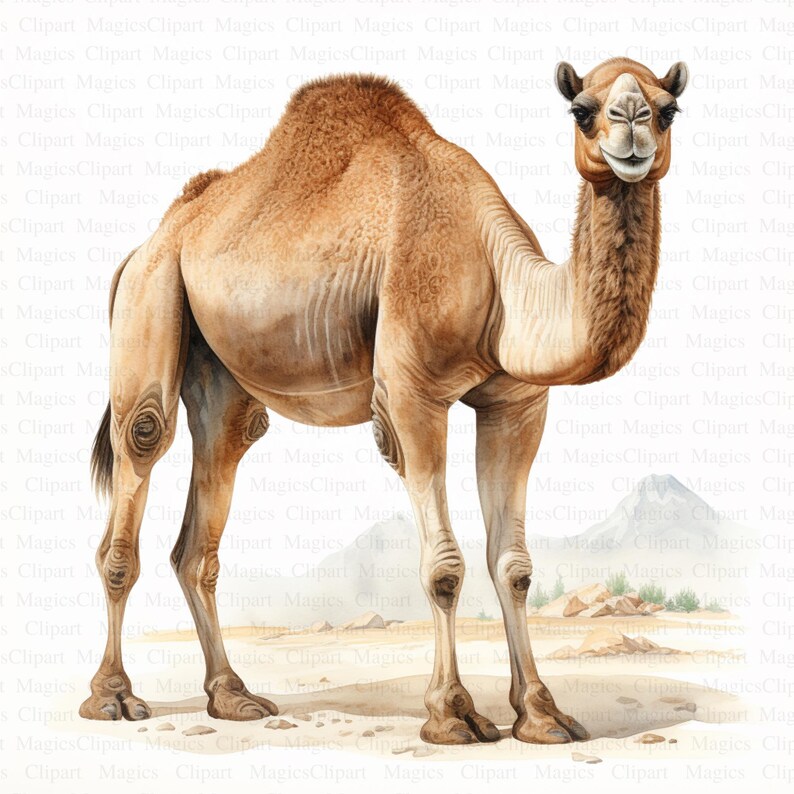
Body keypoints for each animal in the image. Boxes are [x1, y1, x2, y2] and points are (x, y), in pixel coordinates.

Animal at [80, 57, 688, 745]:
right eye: (582, 110)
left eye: (670, 108)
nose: (632, 123)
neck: (500, 280)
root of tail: (148, 242)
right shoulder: (410, 393)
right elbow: (444, 566)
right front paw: (452, 714)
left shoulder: (515, 405)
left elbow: (514, 565)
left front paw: (541, 713)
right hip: (151, 295)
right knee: (143, 438)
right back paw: (113, 697)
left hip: (220, 367)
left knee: (213, 485)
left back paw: (233, 697)